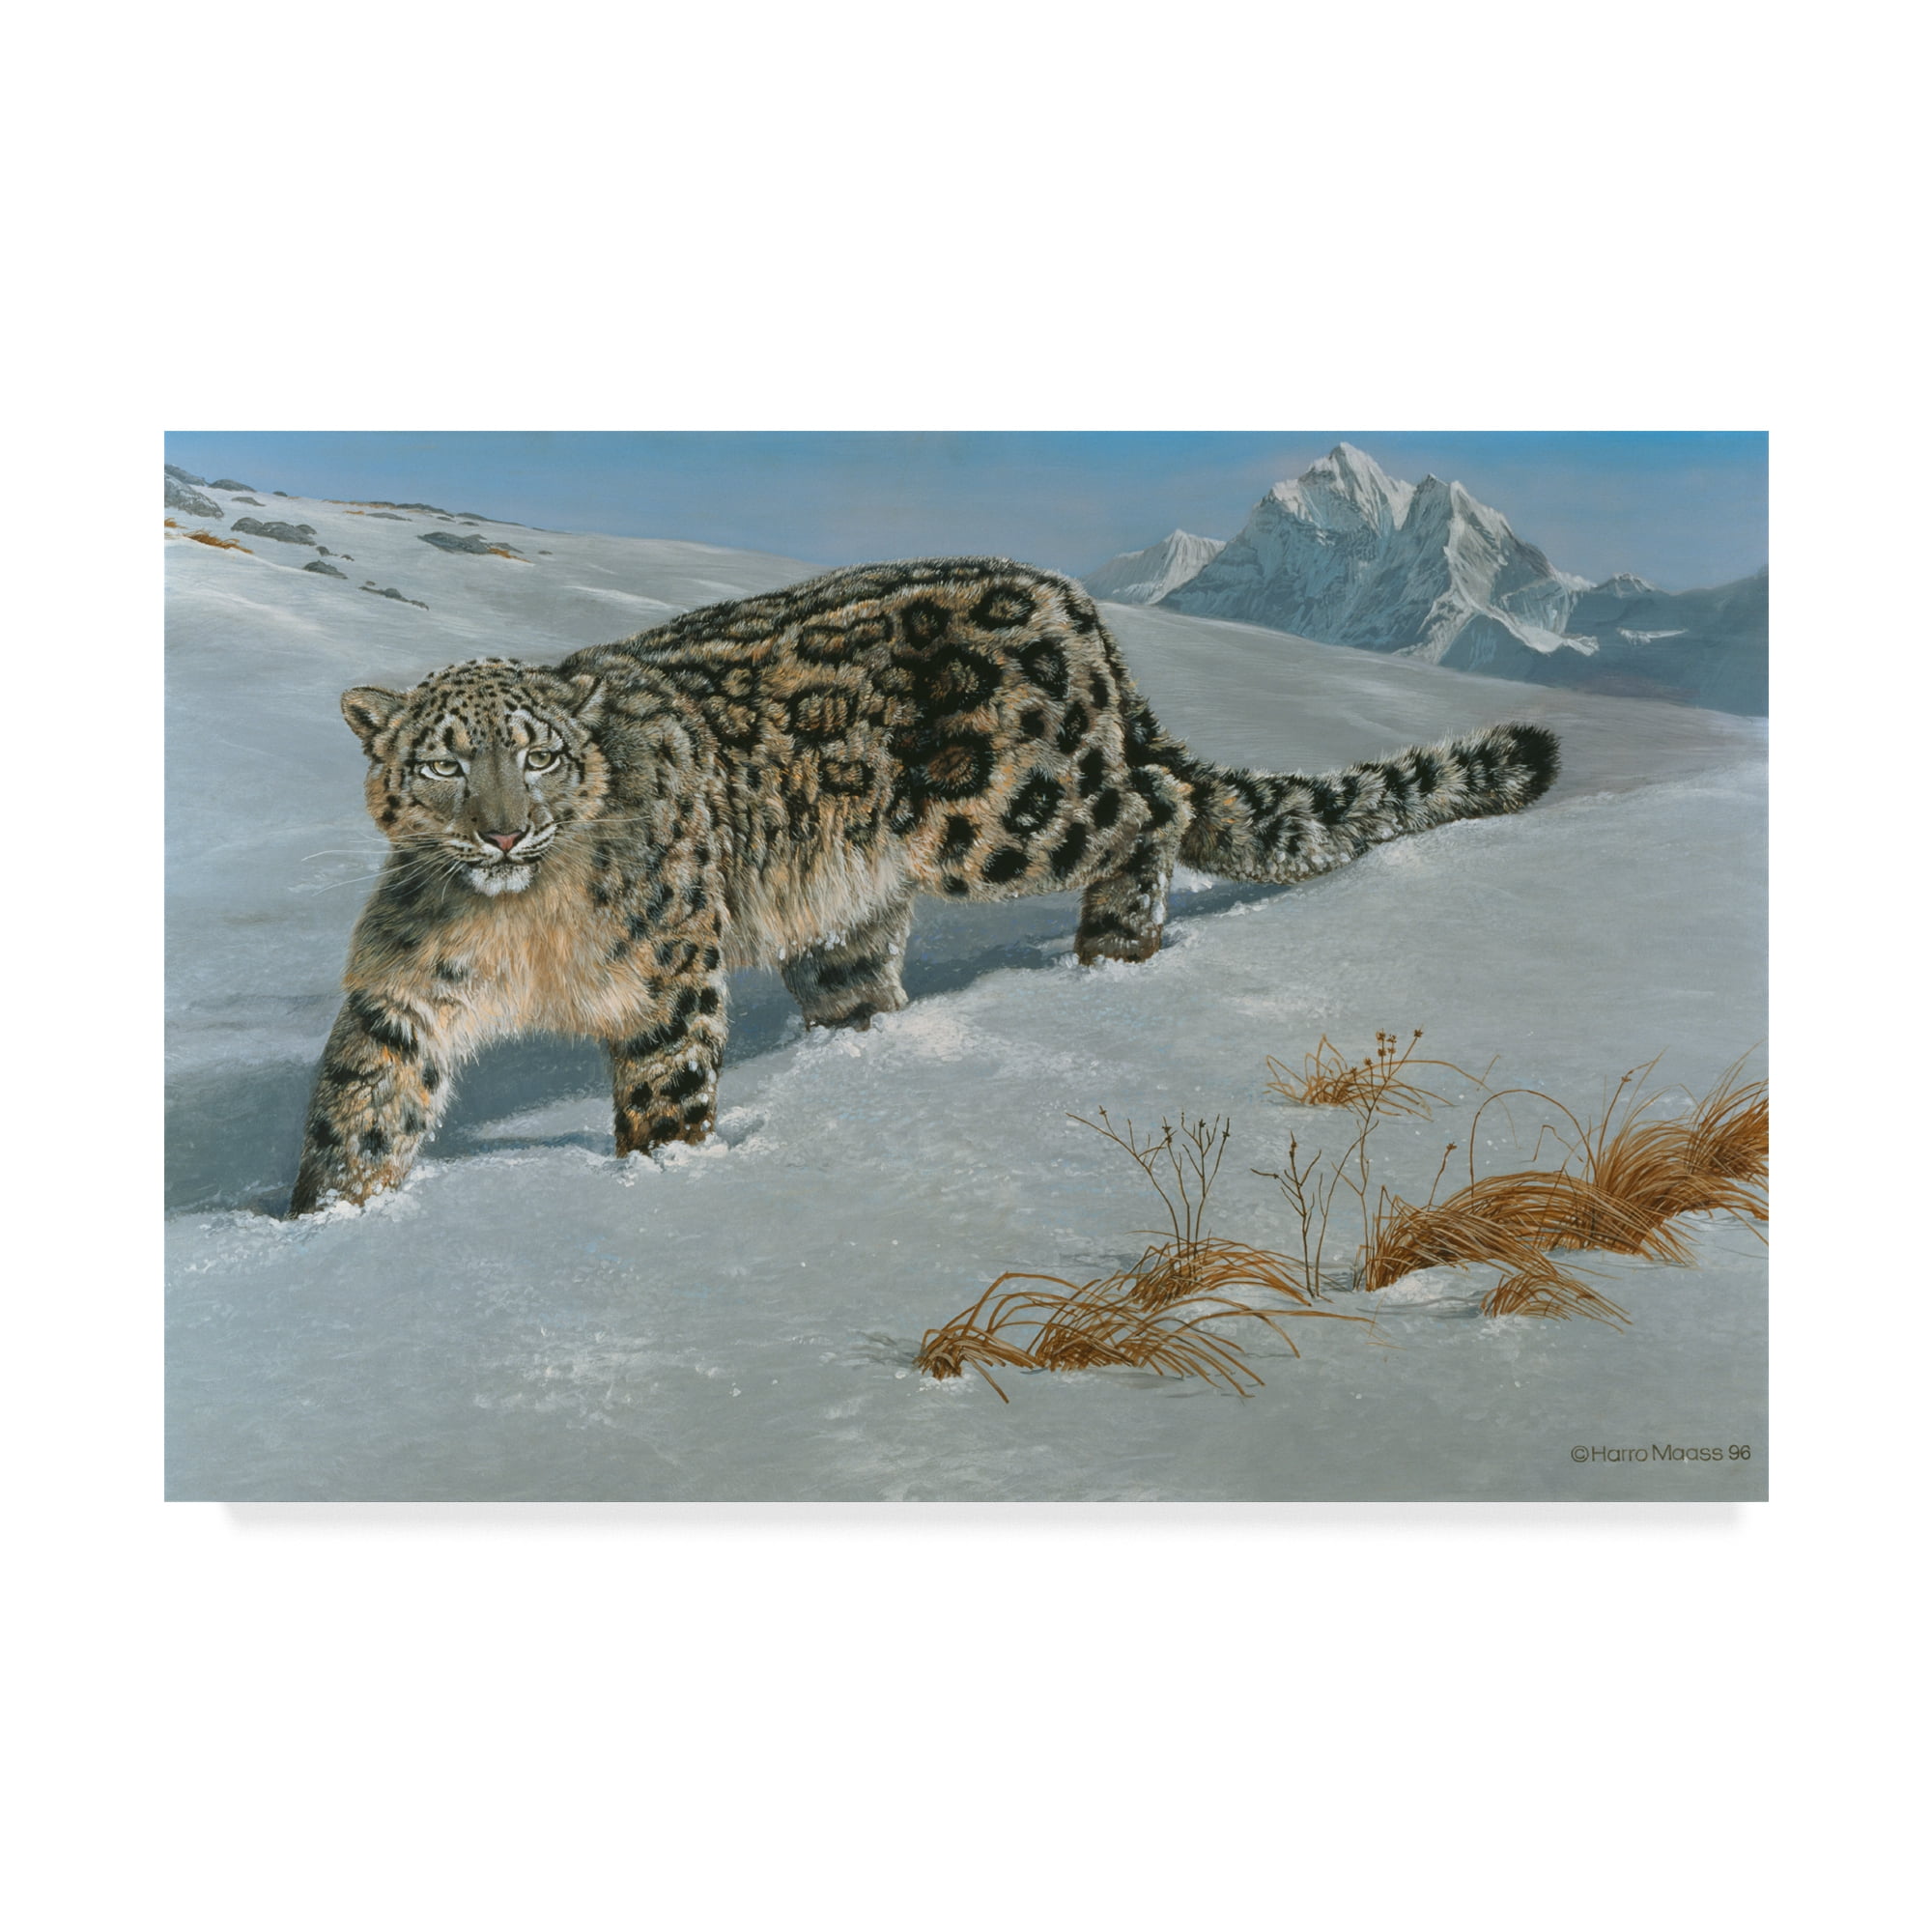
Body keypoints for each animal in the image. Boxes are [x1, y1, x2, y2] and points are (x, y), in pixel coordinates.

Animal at [290, 557, 1559, 1215]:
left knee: (1148, 808)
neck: (518, 925)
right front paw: (323, 1221)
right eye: (443, 762)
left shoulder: (665, 982)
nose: (504, 832)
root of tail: (1079, 610)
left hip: (1006, 814)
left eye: (540, 753)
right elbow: (363, 1103)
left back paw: (1115, 945)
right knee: (865, 977)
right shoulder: (403, 989)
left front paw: (659, 1184)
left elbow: (660, 1097)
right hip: (842, 917)